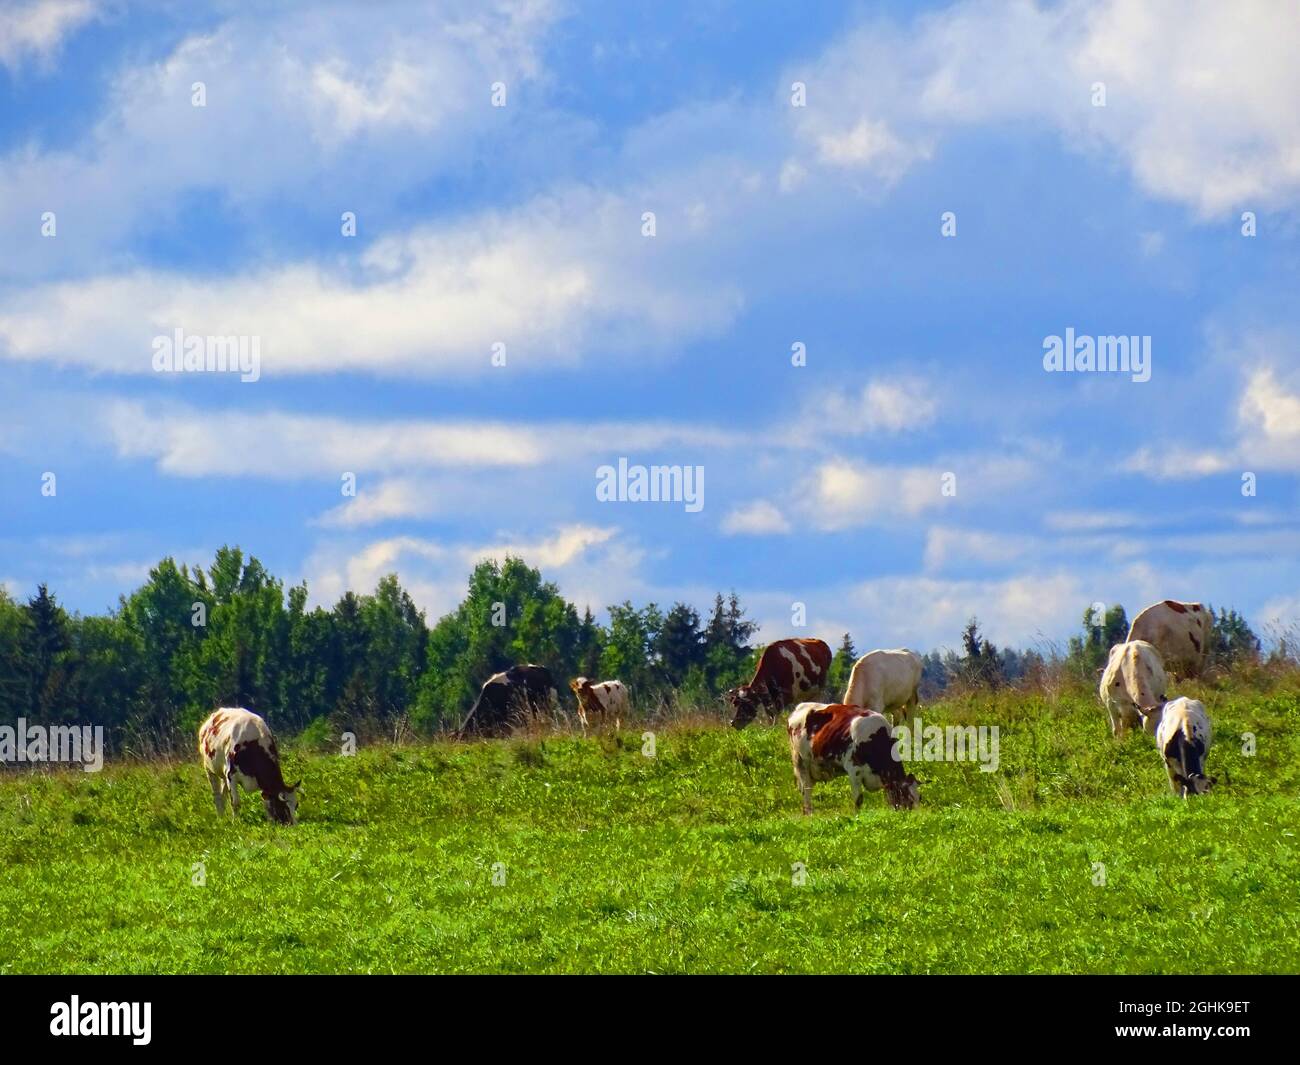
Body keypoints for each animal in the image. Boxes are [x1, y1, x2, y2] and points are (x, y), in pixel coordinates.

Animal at [787, 702, 920, 814]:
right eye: (908, 797)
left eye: (920, 797)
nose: (916, 816)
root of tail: (799, 707)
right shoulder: (854, 769)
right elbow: (858, 799)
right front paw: (856, 815)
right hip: (800, 761)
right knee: (807, 788)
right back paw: (809, 812)